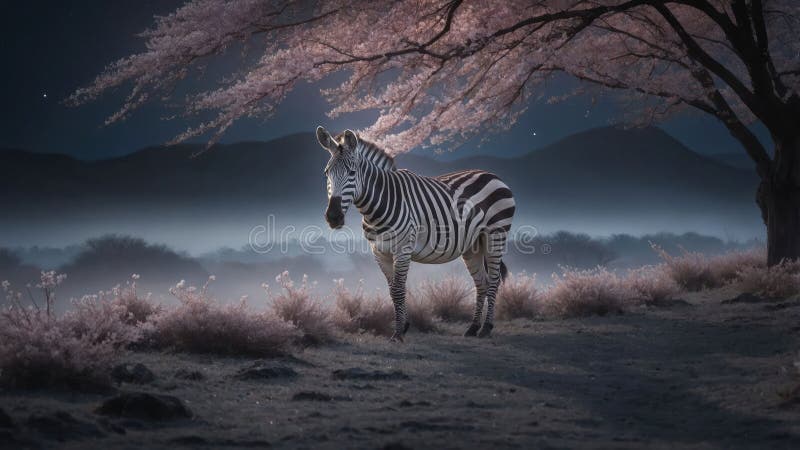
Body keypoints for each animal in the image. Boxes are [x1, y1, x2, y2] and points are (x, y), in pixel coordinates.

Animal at [316, 126, 515, 341]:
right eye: (326, 173)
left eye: (352, 173)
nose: (333, 217)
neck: (378, 205)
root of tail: (492, 175)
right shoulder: (379, 252)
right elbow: (392, 290)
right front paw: (403, 326)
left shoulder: (403, 250)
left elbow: (398, 290)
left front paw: (398, 333)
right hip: (473, 245)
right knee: (482, 283)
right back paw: (473, 328)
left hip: (495, 235)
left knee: (494, 280)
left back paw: (486, 328)